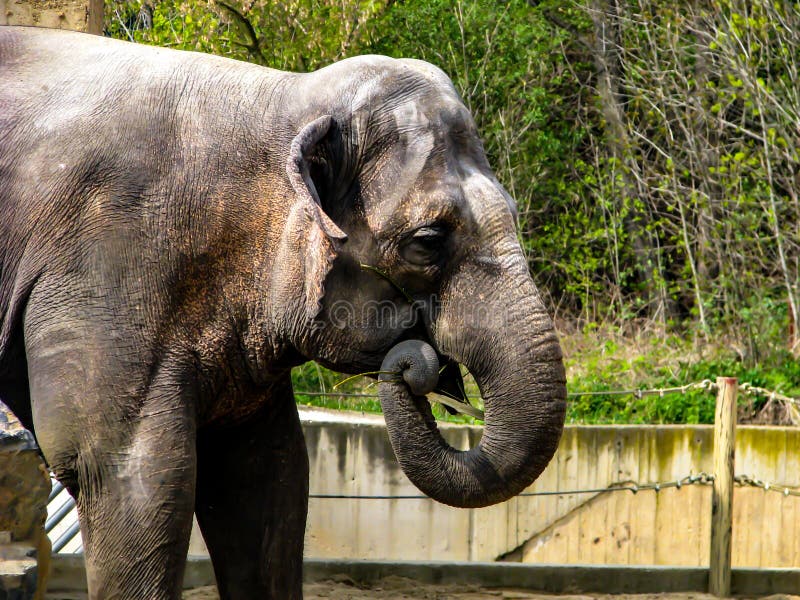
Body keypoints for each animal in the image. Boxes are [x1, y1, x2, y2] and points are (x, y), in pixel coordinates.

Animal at [0, 26, 566, 600]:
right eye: (428, 241)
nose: (414, 364)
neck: (284, 97)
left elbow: (271, 474)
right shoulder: (112, 265)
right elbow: (130, 474)